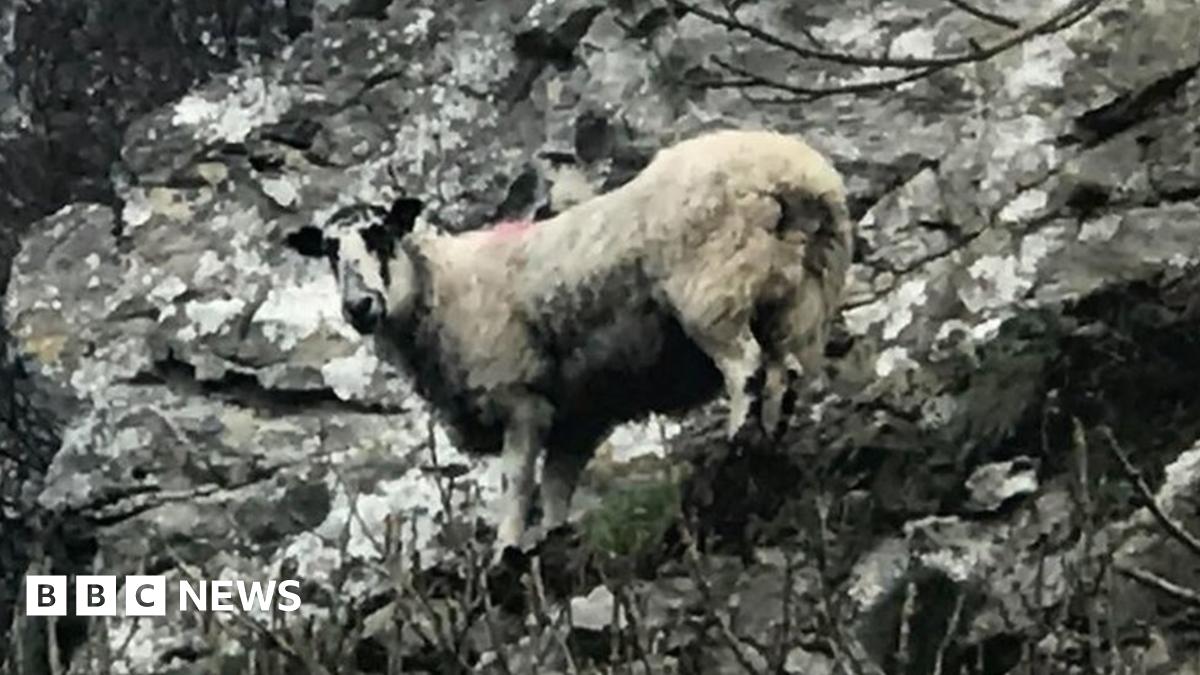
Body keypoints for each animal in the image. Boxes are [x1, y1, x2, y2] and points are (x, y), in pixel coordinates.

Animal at [308, 129, 854, 555]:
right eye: (330, 251)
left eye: (381, 236)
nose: (359, 307)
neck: (440, 285)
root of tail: (792, 176)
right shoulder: (577, 414)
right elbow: (556, 485)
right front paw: (551, 535)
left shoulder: (519, 395)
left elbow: (517, 482)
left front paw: (506, 549)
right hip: (799, 300)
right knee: (786, 372)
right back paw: (770, 440)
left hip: (714, 290)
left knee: (748, 368)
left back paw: (739, 442)